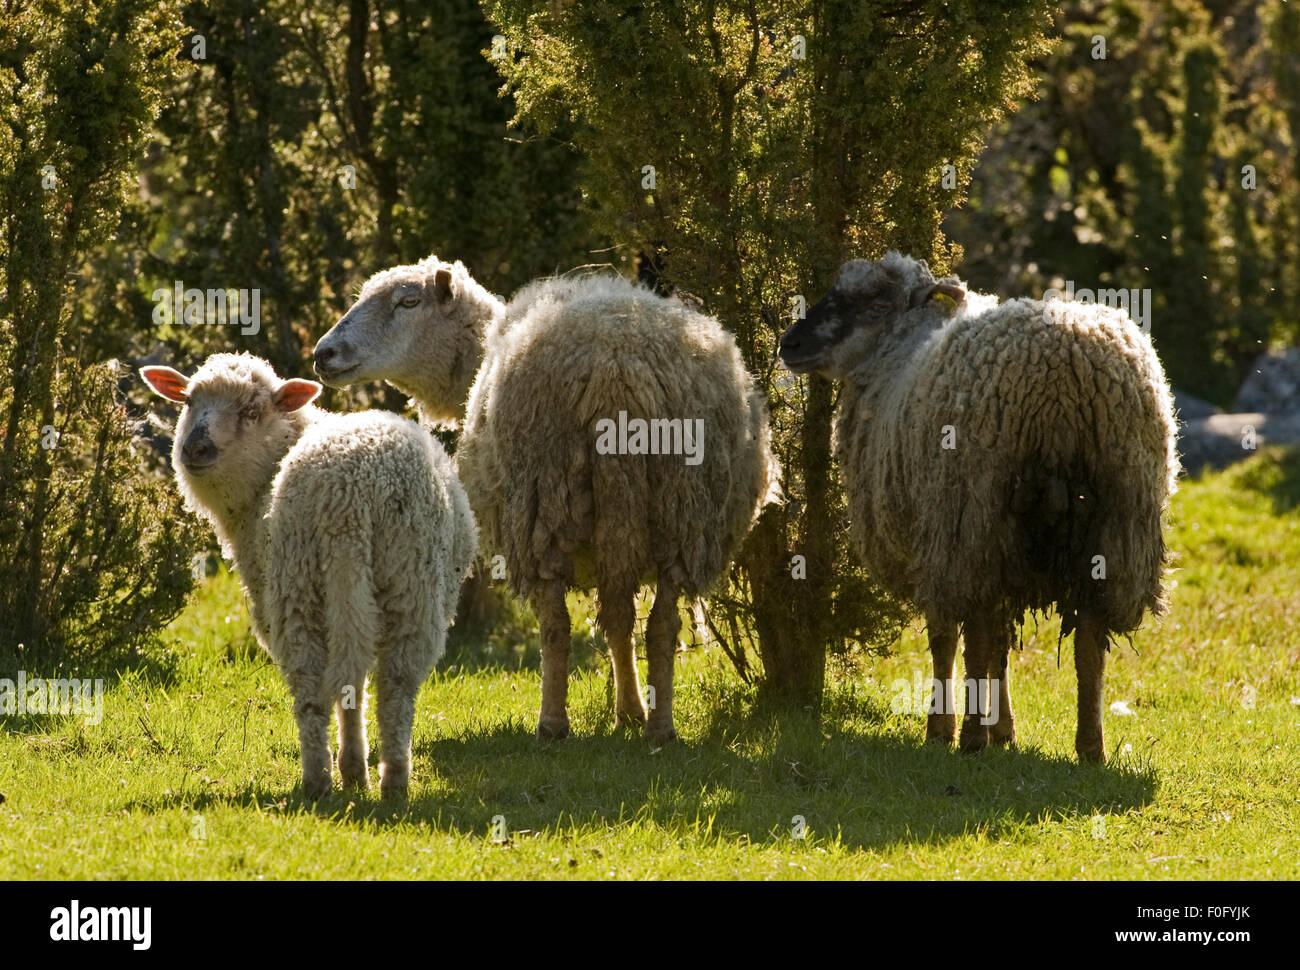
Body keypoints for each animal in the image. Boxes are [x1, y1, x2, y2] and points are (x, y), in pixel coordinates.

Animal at [141, 353, 476, 797]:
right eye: (190, 401)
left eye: (252, 411)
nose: (195, 447)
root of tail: (351, 497)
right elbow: (357, 687)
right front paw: (356, 768)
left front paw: (348, 770)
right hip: (410, 580)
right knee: (394, 688)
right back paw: (392, 780)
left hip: (298, 583)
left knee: (311, 687)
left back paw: (318, 778)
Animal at [312, 259, 776, 742]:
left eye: (408, 301)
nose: (323, 355)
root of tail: (619, 369)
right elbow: (620, 624)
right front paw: (629, 712)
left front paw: (620, 711)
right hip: (685, 512)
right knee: (662, 627)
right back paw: (660, 729)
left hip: (543, 503)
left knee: (555, 627)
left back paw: (552, 723)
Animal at [777, 252, 1179, 762]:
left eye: (874, 303)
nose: (789, 342)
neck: (898, 347)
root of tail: (1060, 374)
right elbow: (1001, 645)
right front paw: (1004, 729)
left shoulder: (937, 533)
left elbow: (950, 639)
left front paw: (945, 729)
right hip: (1117, 526)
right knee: (1087, 641)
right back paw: (1090, 747)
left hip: (971, 514)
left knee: (976, 639)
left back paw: (968, 737)